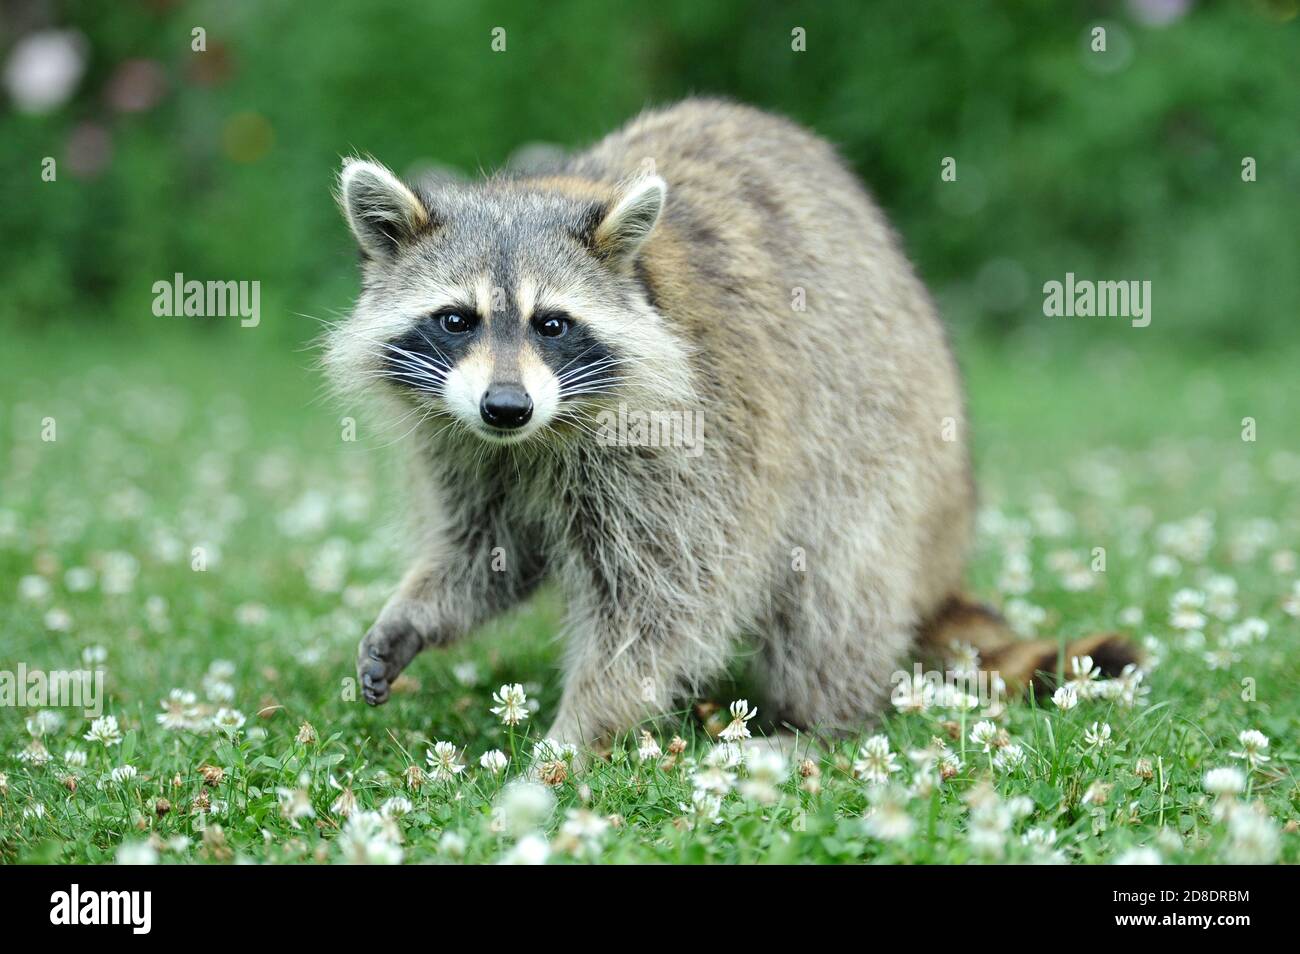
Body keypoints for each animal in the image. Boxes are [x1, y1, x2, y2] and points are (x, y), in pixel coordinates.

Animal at [326, 98, 1134, 752]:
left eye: (550, 324)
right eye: (456, 320)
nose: (505, 406)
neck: (540, 437)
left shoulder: (696, 437)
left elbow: (664, 598)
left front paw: (583, 727)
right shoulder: (469, 446)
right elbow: (490, 549)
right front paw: (417, 611)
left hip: (888, 458)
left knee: (834, 588)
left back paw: (823, 724)